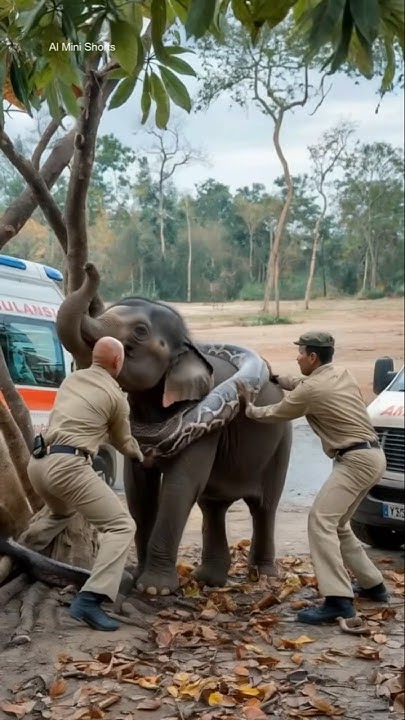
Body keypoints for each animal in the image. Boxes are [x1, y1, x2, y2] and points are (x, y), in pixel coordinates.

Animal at [6, 264, 292, 596]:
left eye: (140, 332)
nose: (89, 267)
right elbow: (139, 489)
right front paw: (136, 576)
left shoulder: (207, 430)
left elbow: (181, 485)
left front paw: (155, 589)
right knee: (213, 505)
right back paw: (207, 580)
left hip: (282, 439)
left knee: (264, 506)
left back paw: (263, 576)